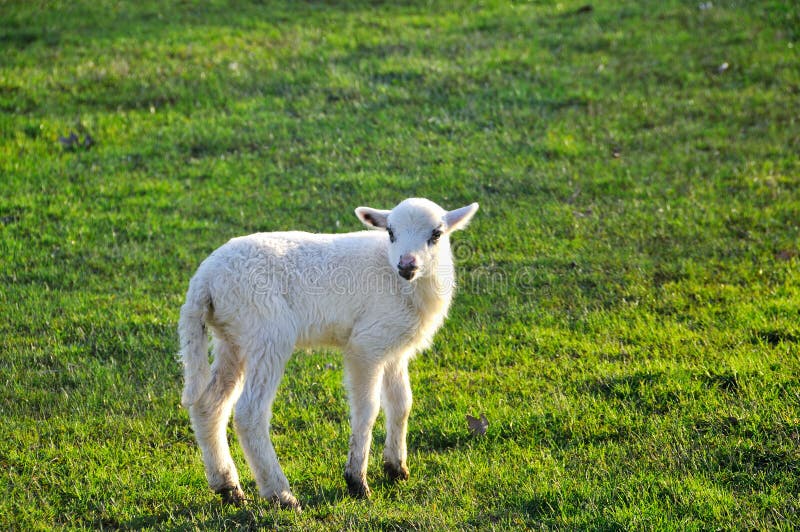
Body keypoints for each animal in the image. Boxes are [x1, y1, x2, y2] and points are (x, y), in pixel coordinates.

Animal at [178, 197, 479, 510]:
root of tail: (203, 280)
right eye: (391, 232)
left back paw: (227, 486)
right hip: (266, 328)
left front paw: (396, 468)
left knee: (209, 404)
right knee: (249, 412)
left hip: (233, 336)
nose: (406, 264)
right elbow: (367, 409)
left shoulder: (393, 347)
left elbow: (401, 404)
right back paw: (280, 494)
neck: (398, 279)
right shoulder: (365, 344)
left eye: (436, 234)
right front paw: (356, 481)